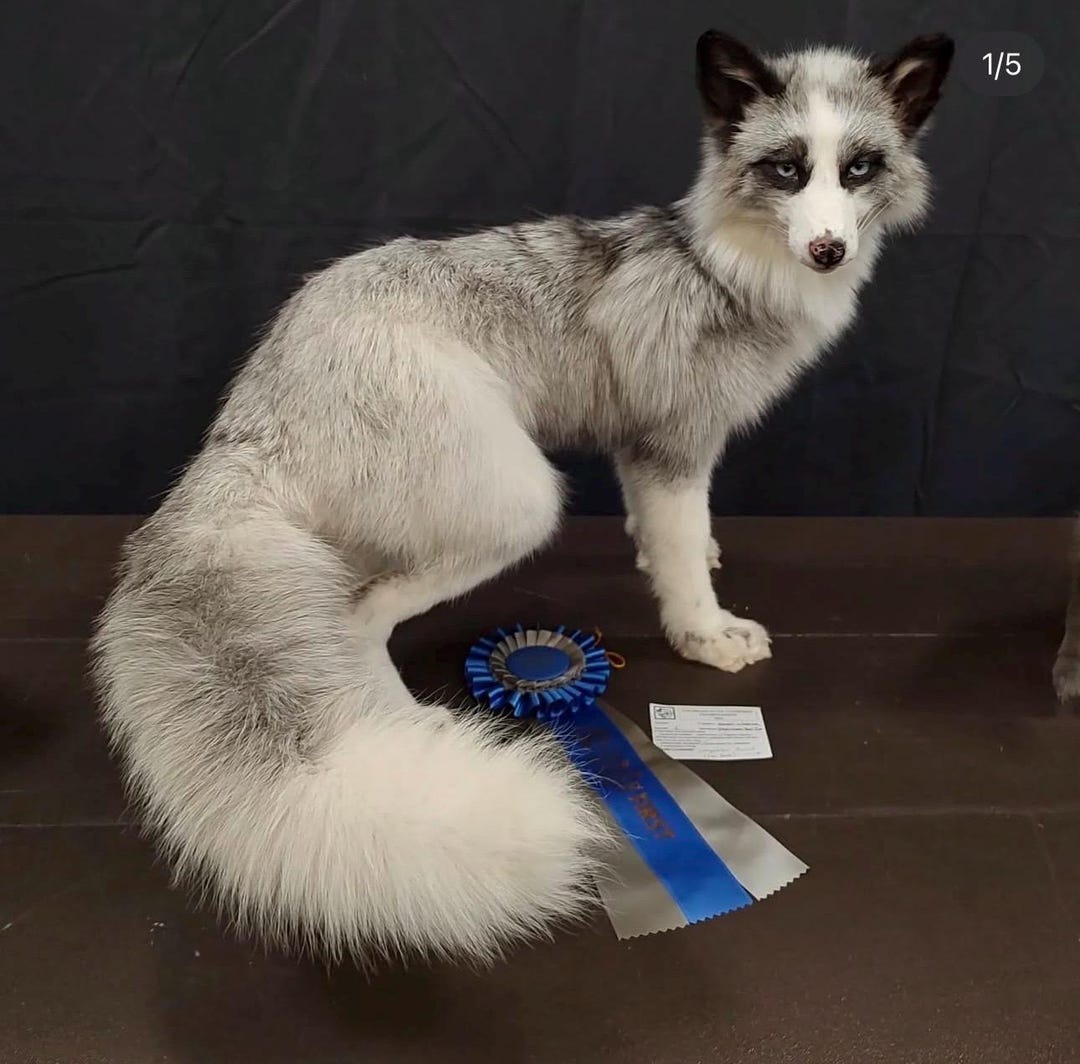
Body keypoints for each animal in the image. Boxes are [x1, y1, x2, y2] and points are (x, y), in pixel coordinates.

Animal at [92, 29, 953, 962]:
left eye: (860, 168)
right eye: (788, 169)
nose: (829, 249)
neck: (723, 266)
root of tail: (253, 411)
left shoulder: (655, 459)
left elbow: (674, 537)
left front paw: (687, 560)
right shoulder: (670, 445)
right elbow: (682, 562)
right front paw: (704, 632)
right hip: (521, 501)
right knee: (359, 614)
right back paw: (407, 724)